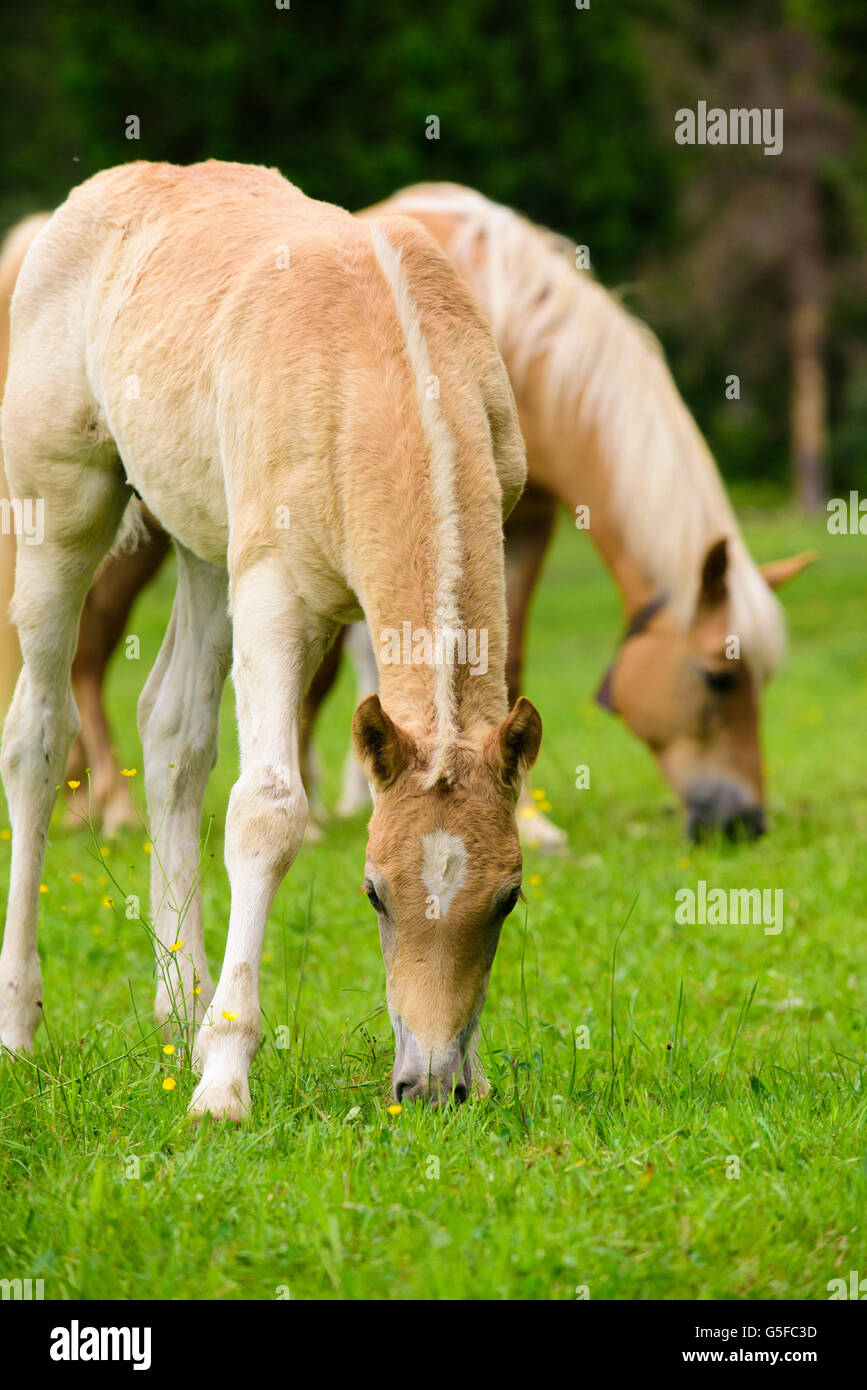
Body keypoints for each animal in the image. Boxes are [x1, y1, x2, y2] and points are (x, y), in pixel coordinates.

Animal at [0, 160, 540, 1119]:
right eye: (374, 892)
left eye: (507, 898)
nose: (428, 1085)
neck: (393, 362)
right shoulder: (276, 595)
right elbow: (267, 810)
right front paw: (222, 1084)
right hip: (63, 508)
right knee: (37, 733)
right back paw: (22, 1026)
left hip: (205, 543)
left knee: (173, 732)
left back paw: (181, 1009)